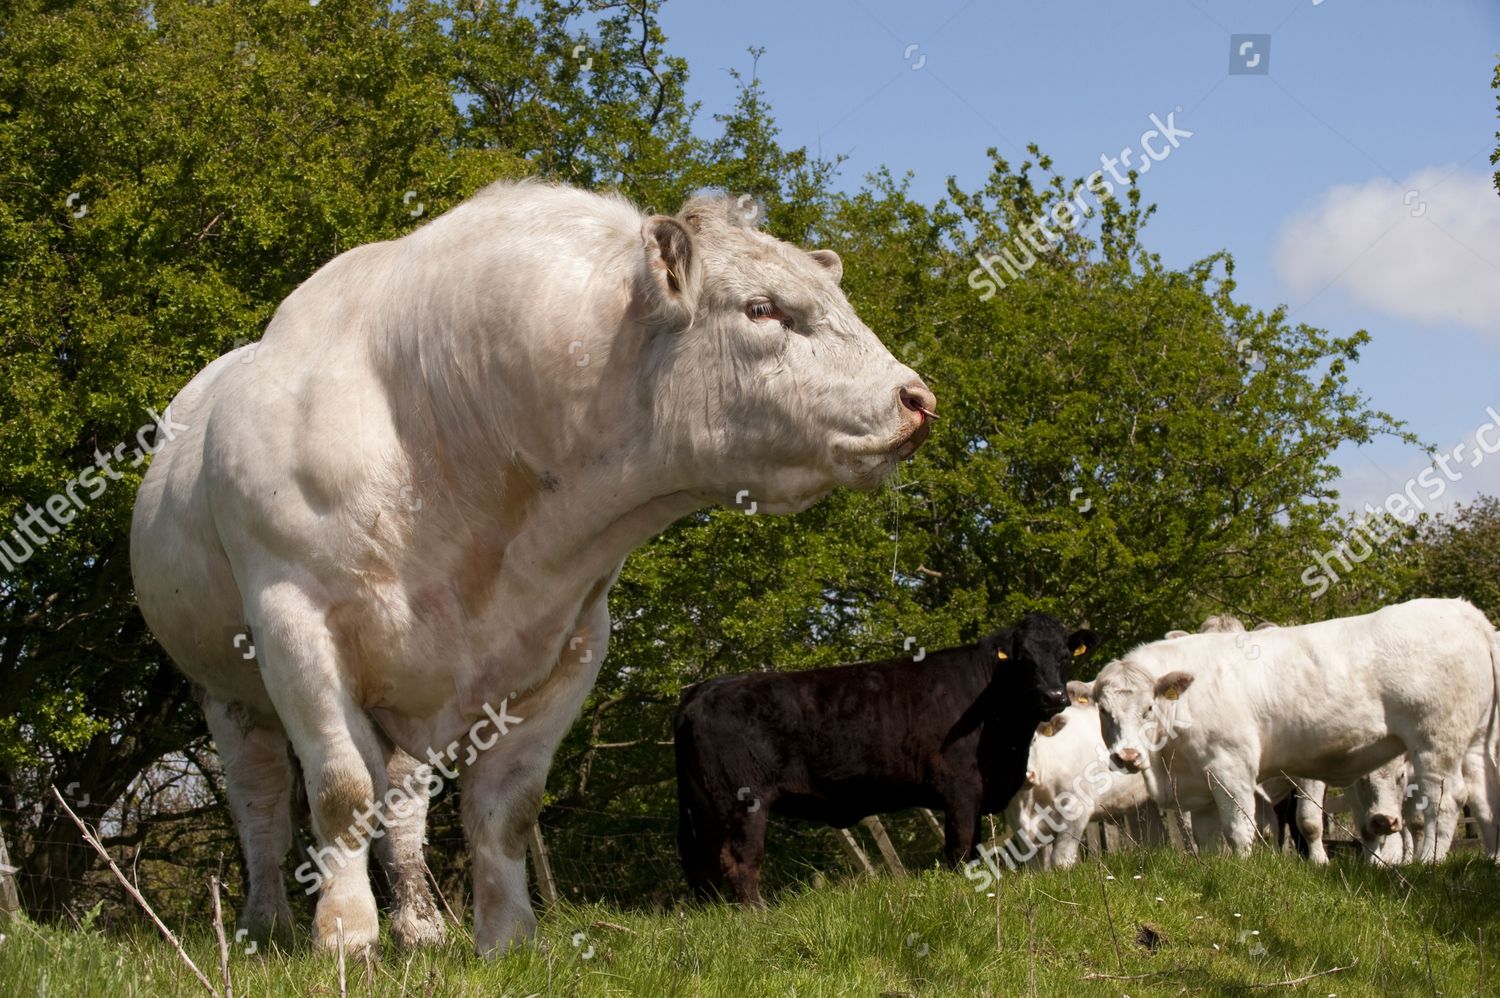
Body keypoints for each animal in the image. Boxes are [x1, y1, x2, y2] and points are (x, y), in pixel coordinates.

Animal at [130, 182, 937, 955]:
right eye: (762, 308)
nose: (918, 398)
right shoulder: (295, 623)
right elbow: (340, 790)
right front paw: (344, 935)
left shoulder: (571, 643)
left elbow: (505, 809)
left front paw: (508, 938)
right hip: (226, 693)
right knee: (262, 805)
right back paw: (267, 926)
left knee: (404, 806)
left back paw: (419, 926)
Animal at [673, 614, 1096, 905]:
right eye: (1023, 659)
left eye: (1064, 656)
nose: (1054, 696)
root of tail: (706, 687)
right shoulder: (960, 786)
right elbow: (960, 848)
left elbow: (973, 846)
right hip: (743, 801)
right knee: (739, 859)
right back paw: (757, 913)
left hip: (708, 807)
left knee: (705, 863)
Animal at [1091, 598, 1500, 863]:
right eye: (1103, 711)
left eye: (1148, 708)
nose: (1127, 756)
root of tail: (1465, 611)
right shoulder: (1197, 784)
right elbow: (1205, 838)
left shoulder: (1231, 767)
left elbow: (1239, 828)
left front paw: (1243, 872)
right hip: (1477, 742)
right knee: (1484, 798)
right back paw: (1491, 859)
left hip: (1436, 740)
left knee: (1445, 799)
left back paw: (1428, 862)